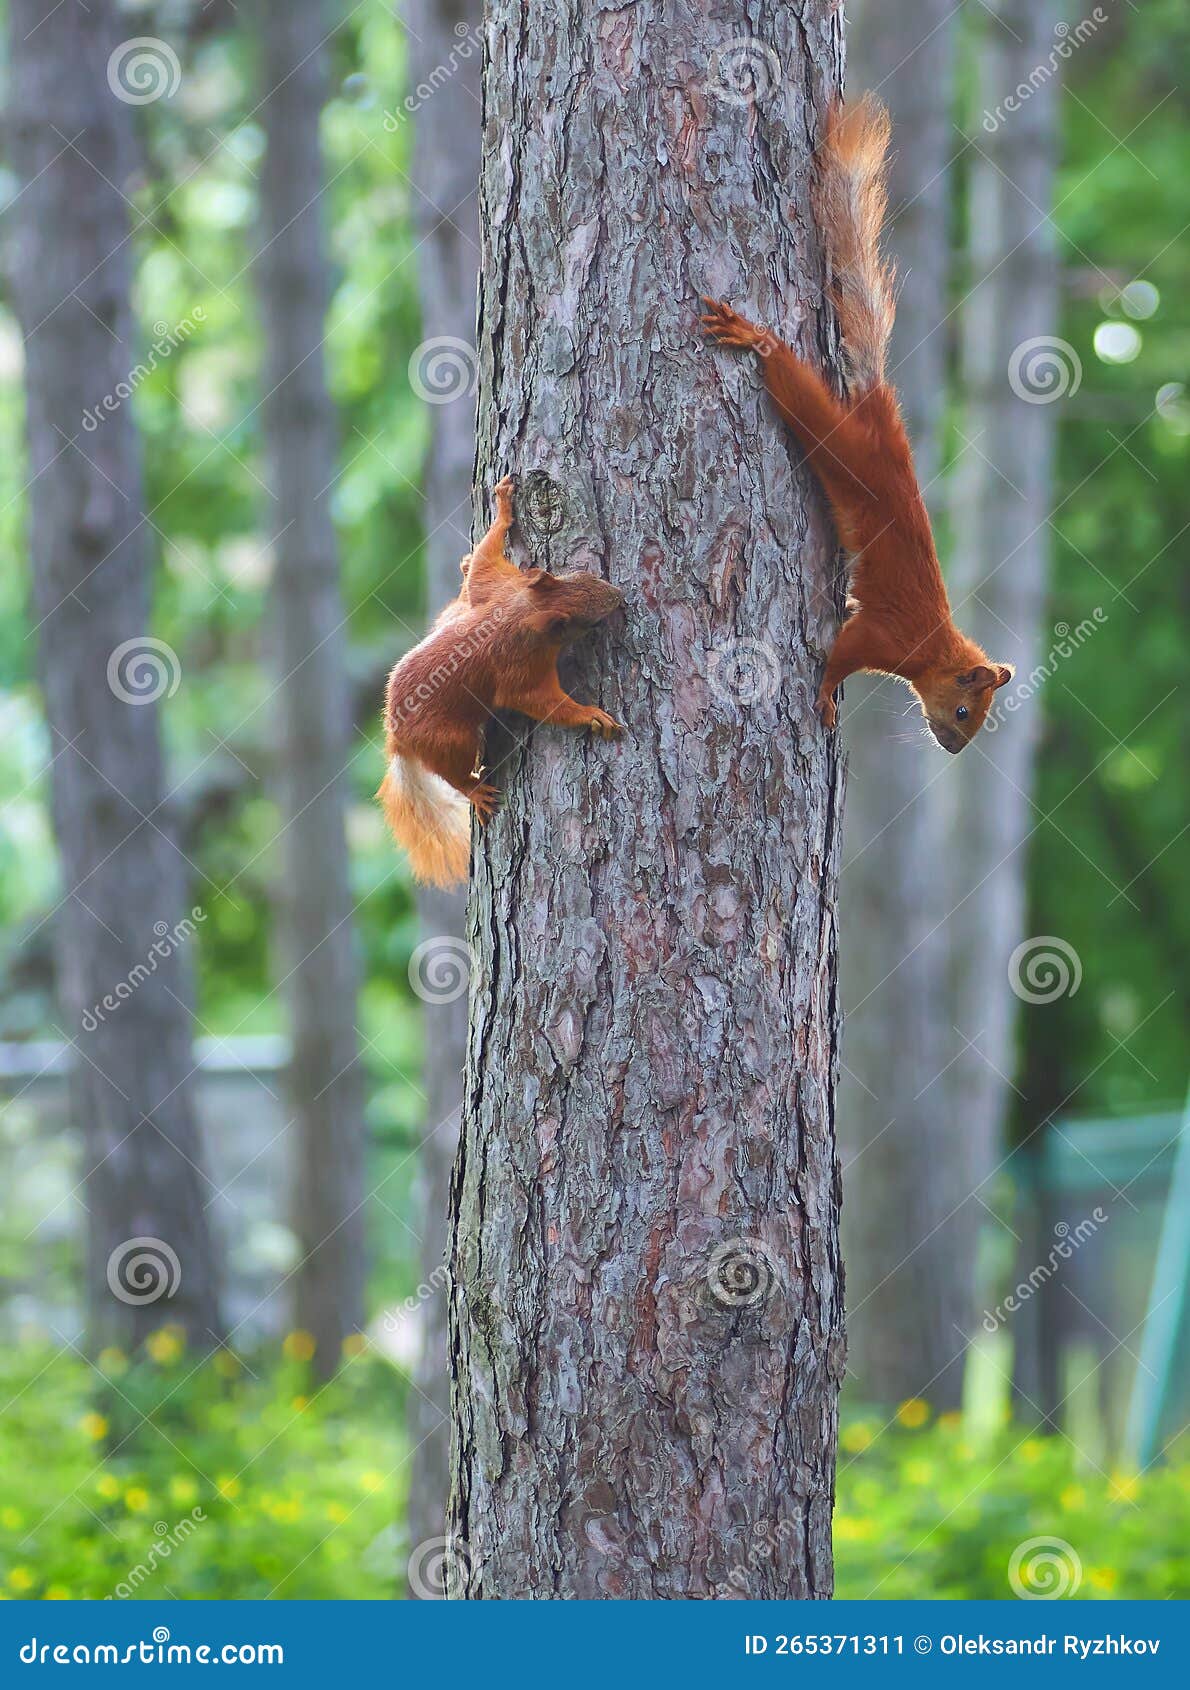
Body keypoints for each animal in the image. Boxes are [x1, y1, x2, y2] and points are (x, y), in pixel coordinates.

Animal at [377, 474, 625, 888]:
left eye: (582, 576)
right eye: (587, 621)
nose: (620, 596)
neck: (521, 611)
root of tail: (395, 737)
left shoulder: (497, 586)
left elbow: (485, 559)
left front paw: (504, 506)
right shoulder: (520, 670)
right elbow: (541, 702)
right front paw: (589, 715)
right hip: (448, 739)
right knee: (452, 771)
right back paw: (475, 791)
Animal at [702, 95, 1013, 753]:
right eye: (966, 711)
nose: (953, 746)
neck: (935, 648)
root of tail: (881, 416)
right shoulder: (885, 637)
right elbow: (840, 656)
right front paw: (824, 697)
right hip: (838, 440)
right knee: (791, 384)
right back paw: (753, 337)